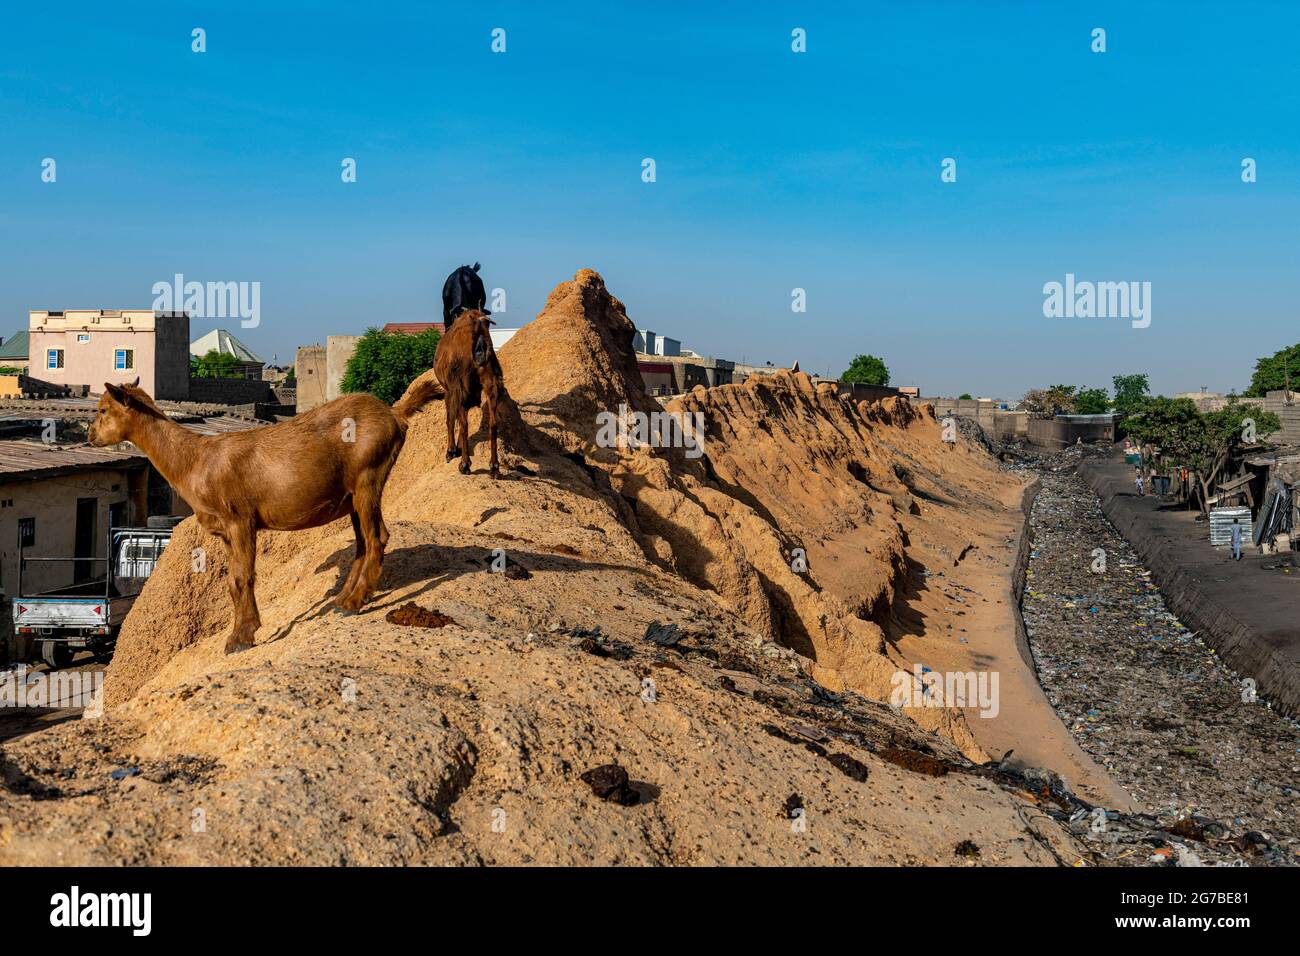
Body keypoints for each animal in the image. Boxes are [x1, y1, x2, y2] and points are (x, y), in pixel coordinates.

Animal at [87, 377, 444, 653]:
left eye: (104, 409)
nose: (91, 435)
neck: (195, 459)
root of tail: (395, 415)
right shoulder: (226, 531)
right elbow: (233, 581)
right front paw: (244, 630)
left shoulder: (240, 520)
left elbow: (242, 578)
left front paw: (240, 639)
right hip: (354, 496)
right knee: (362, 543)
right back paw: (344, 598)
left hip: (368, 478)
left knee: (377, 537)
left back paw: (354, 603)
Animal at [434, 309, 503, 478]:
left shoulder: (450, 390)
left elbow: (451, 419)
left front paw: (451, 451)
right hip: (491, 382)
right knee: (493, 422)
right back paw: (494, 467)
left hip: (460, 386)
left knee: (464, 423)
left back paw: (464, 464)